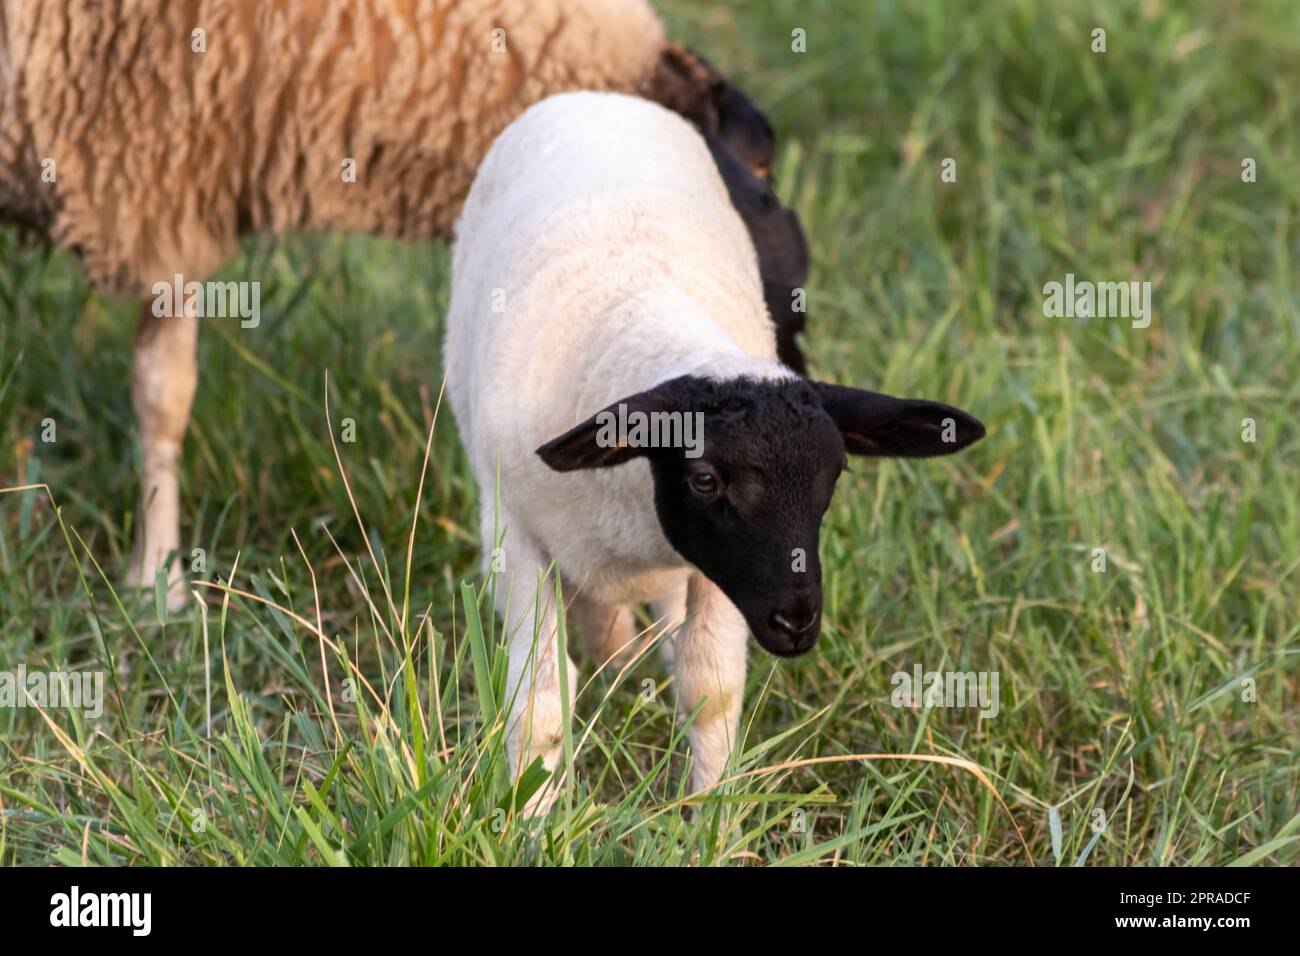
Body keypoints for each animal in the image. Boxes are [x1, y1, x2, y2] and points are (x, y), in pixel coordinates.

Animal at [0, 0, 807, 608]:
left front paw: (153, 576)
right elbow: (163, 395)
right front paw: (156, 584)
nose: (795, 370)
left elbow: (162, 390)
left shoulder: (164, 180)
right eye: (753, 190)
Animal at [445, 91, 985, 813]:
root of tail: (599, 97)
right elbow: (540, 708)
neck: (644, 316)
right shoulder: (515, 536)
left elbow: (710, 690)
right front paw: (530, 819)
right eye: (704, 480)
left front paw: (707, 815)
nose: (796, 622)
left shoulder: (715, 576)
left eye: (836, 475)